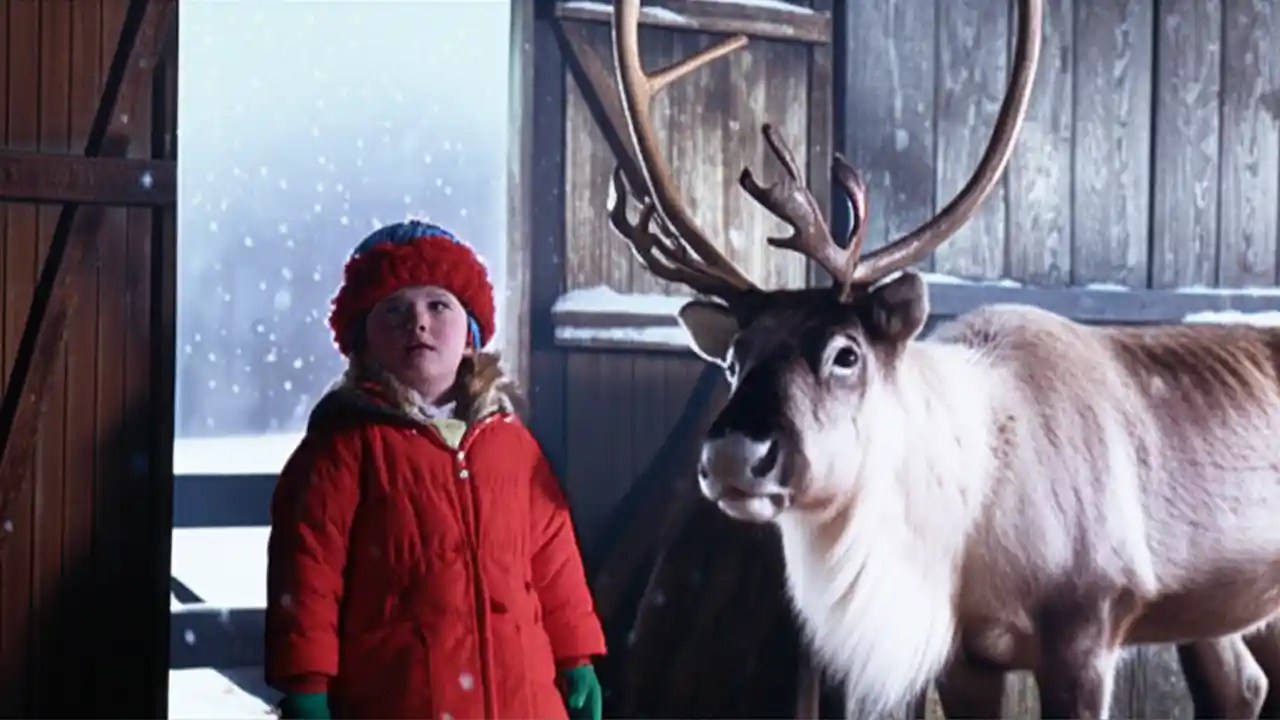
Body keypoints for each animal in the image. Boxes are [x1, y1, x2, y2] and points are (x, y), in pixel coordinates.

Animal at [601, 0, 1280, 717]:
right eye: (734, 357)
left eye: (845, 353)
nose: (734, 454)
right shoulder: (966, 658)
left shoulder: (1087, 626)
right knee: (1242, 684)